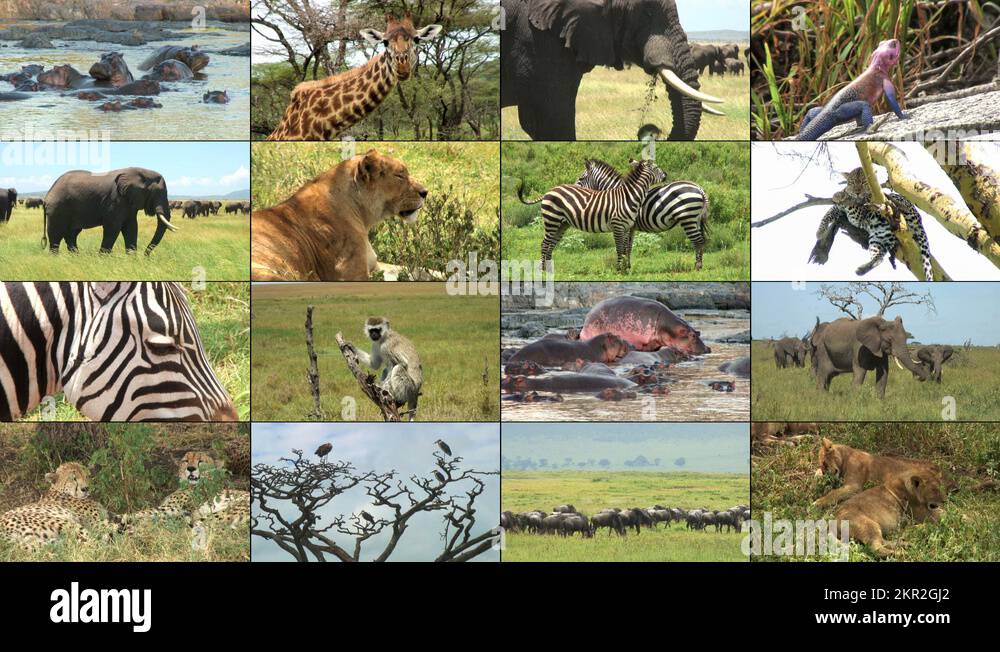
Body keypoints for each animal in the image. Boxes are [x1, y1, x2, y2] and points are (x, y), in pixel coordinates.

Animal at [517, 159, 661, 273]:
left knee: (551, 243)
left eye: (580, 178)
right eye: (657, 168)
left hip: (561, 224)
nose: (665, 175)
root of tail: (549, 191)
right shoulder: (618, 226)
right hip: (552, 220)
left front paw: (626, 268)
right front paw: (620, 270)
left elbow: (626, 248)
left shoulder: (627, 227)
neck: (627, 196)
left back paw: (550, 269)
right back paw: (543, 270)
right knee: (545, 243)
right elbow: (621, 248)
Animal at [576, 158, 710, 271]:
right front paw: (628, 266)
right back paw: (699, 264)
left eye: (581, 179)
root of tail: (699, 188)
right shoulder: (631, 227)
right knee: (701, 241)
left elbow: (624, 246)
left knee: (698, 241)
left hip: (687, 218)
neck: (620, 194)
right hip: (695, 219)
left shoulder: (625, 225)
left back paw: (697, 267)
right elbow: (629, 246)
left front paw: (623, 267)